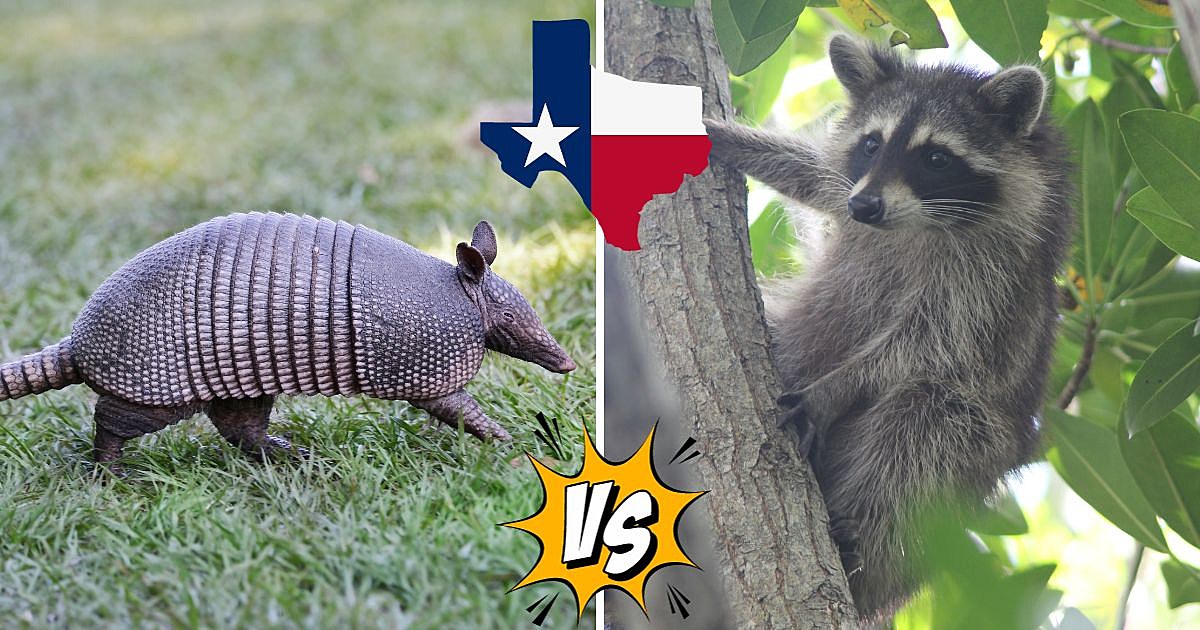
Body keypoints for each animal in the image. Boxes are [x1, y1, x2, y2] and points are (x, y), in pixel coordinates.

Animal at [706, 35, 1073, 618]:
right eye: (872, 145)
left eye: (936, 157)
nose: (865, 205)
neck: (912, 223)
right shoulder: (848, 189)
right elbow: (812, 173)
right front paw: (726, 138)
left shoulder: (989, 280)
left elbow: (927, 348)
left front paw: (837, 387)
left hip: (982, 455)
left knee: (930, 421)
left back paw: (859, 541)